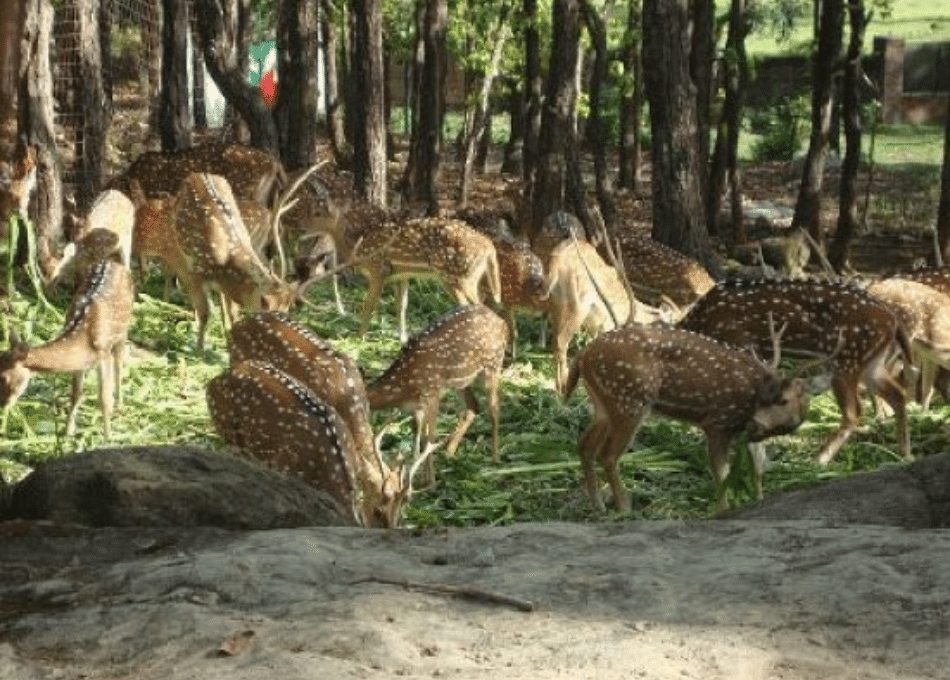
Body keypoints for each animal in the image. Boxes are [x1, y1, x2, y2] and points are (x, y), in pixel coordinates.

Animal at [1, 258, 133, 439]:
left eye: (5, 378)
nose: (2, 404)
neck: (83, 340)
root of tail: (114, 263)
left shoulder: (103, 354)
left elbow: (104, 398)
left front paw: (108, 436)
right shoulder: (80, 364)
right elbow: (76, 394)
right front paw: (67, 432)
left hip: (123, 330)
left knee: (119, 364)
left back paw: (119, 404)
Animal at [130, 172, 303, 350]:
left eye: (288, 310)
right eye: (265, 305)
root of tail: (198, 174)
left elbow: (232, 314)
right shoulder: (192, 272)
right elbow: (206, 312)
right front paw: (199, 349)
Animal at [365, 304, 509, 485]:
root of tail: (500, 320)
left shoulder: (432, 391)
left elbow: (430, 437)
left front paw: (431, 483)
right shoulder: (417, 405)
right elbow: (419, 434)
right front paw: (419, 477)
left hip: (493, 363)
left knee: (494, 407)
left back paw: (495, 459)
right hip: (460, 381)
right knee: (473, 405)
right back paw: (449, 452)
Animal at [564, 322, 821, 513]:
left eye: (786, 400)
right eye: (780, 399)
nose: (757, 422)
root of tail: (583, 354)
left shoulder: (746, 432)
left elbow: (758, 467)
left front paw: (758, 500)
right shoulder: (717, 421)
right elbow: (721, 472)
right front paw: (723, 510)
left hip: (603, 405)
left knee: (585, 446)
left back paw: (598, 505)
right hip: (629, 400)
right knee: (608, 454)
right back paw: (624, 507)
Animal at [679, 278, 912, 465]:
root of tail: (893, 319)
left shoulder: (740, 342)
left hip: (847, 359)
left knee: (854, 412)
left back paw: (819, 460)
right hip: (872, 362)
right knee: (898, 394)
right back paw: (904, 453)